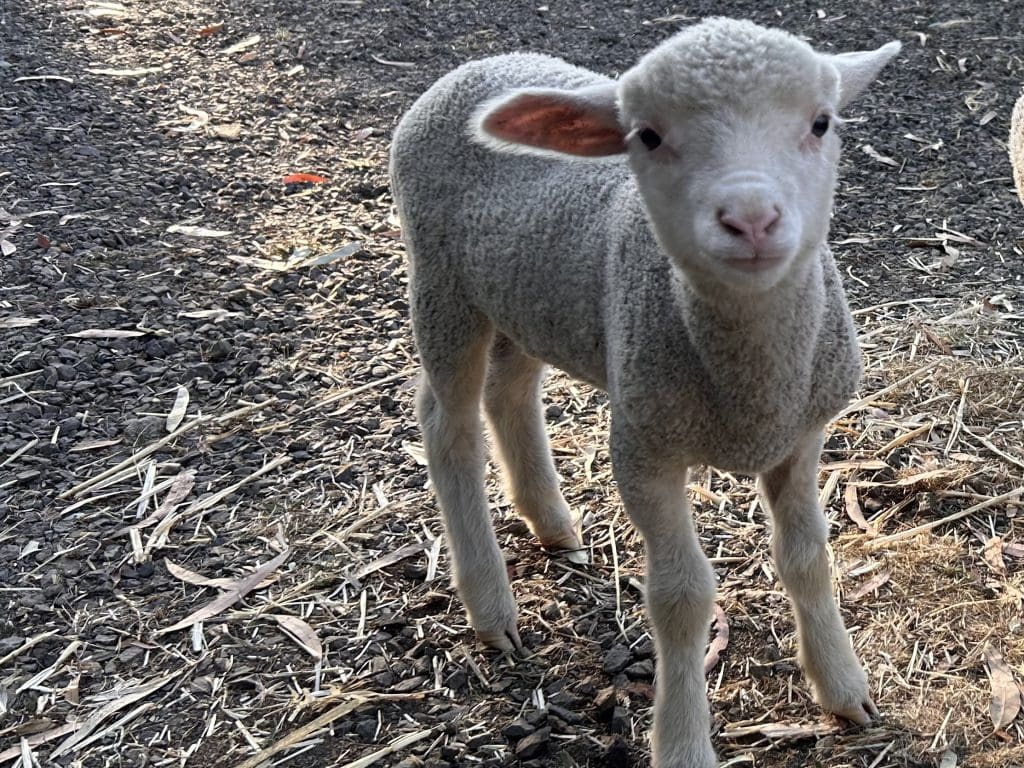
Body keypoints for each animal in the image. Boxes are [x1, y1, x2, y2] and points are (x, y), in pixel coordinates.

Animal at [389, 17, 900, 768]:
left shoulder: (800, 436)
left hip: (529, 297)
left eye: (821, 122)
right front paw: (683, 741)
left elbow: (807, 558)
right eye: (649, 136)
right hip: (441, 282)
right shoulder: (645, 449)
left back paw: (552, 523)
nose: (751, 219)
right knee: (446, 423)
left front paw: (842, 686)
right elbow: (682, 599)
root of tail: (480, 65)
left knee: (510, 391)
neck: (752, 383)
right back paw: (491, 605)